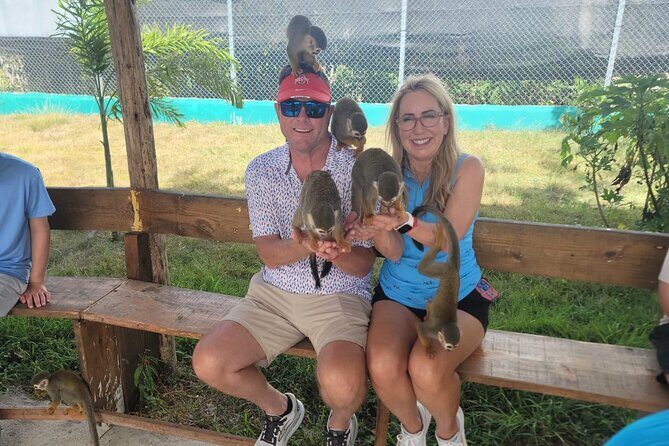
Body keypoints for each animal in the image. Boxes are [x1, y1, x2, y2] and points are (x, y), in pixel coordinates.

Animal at [412, 205, 461, 358]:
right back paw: (439, 244)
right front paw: (428, 348)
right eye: (449, 346)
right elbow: (420, 328)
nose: (450, 351)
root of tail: (452, 267)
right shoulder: (432, 331)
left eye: (455, 346)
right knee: (422, 269)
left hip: (451, 275)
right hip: (441, 269)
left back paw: (429, 306)